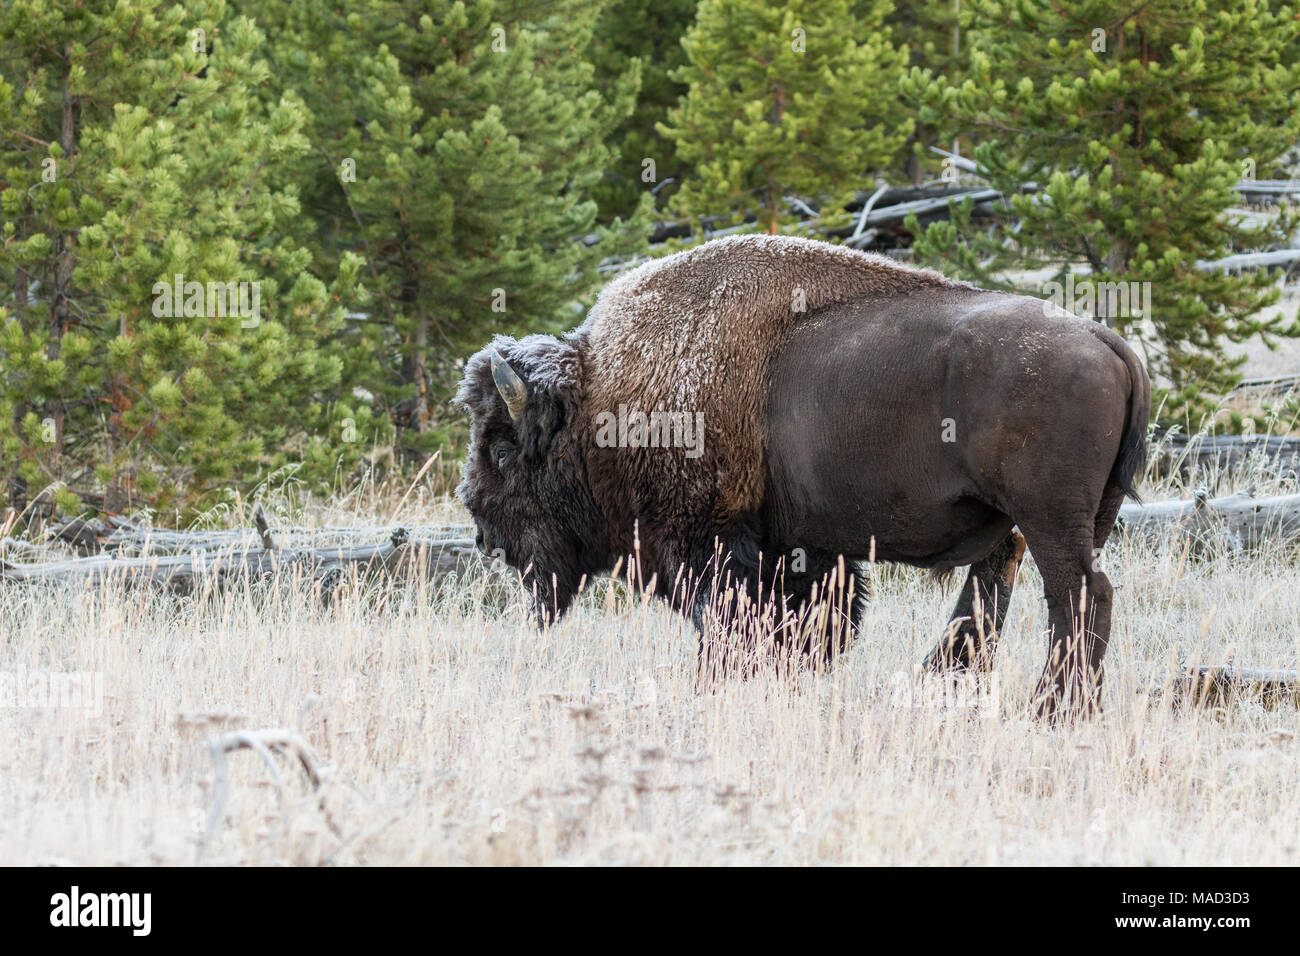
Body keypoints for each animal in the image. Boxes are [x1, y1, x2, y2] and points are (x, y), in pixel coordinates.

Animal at [457, 235, 1150, 717]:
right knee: (1012, 592)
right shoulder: (800, 550)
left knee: (1077, 596)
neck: (605, 401)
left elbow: (734, 627)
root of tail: (1107, 341)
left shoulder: (712, 545)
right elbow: (813, 624)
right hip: (1063, 518)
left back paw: (1054, 711)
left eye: (502, 452)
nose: (483, 532)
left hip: (1051, 519)